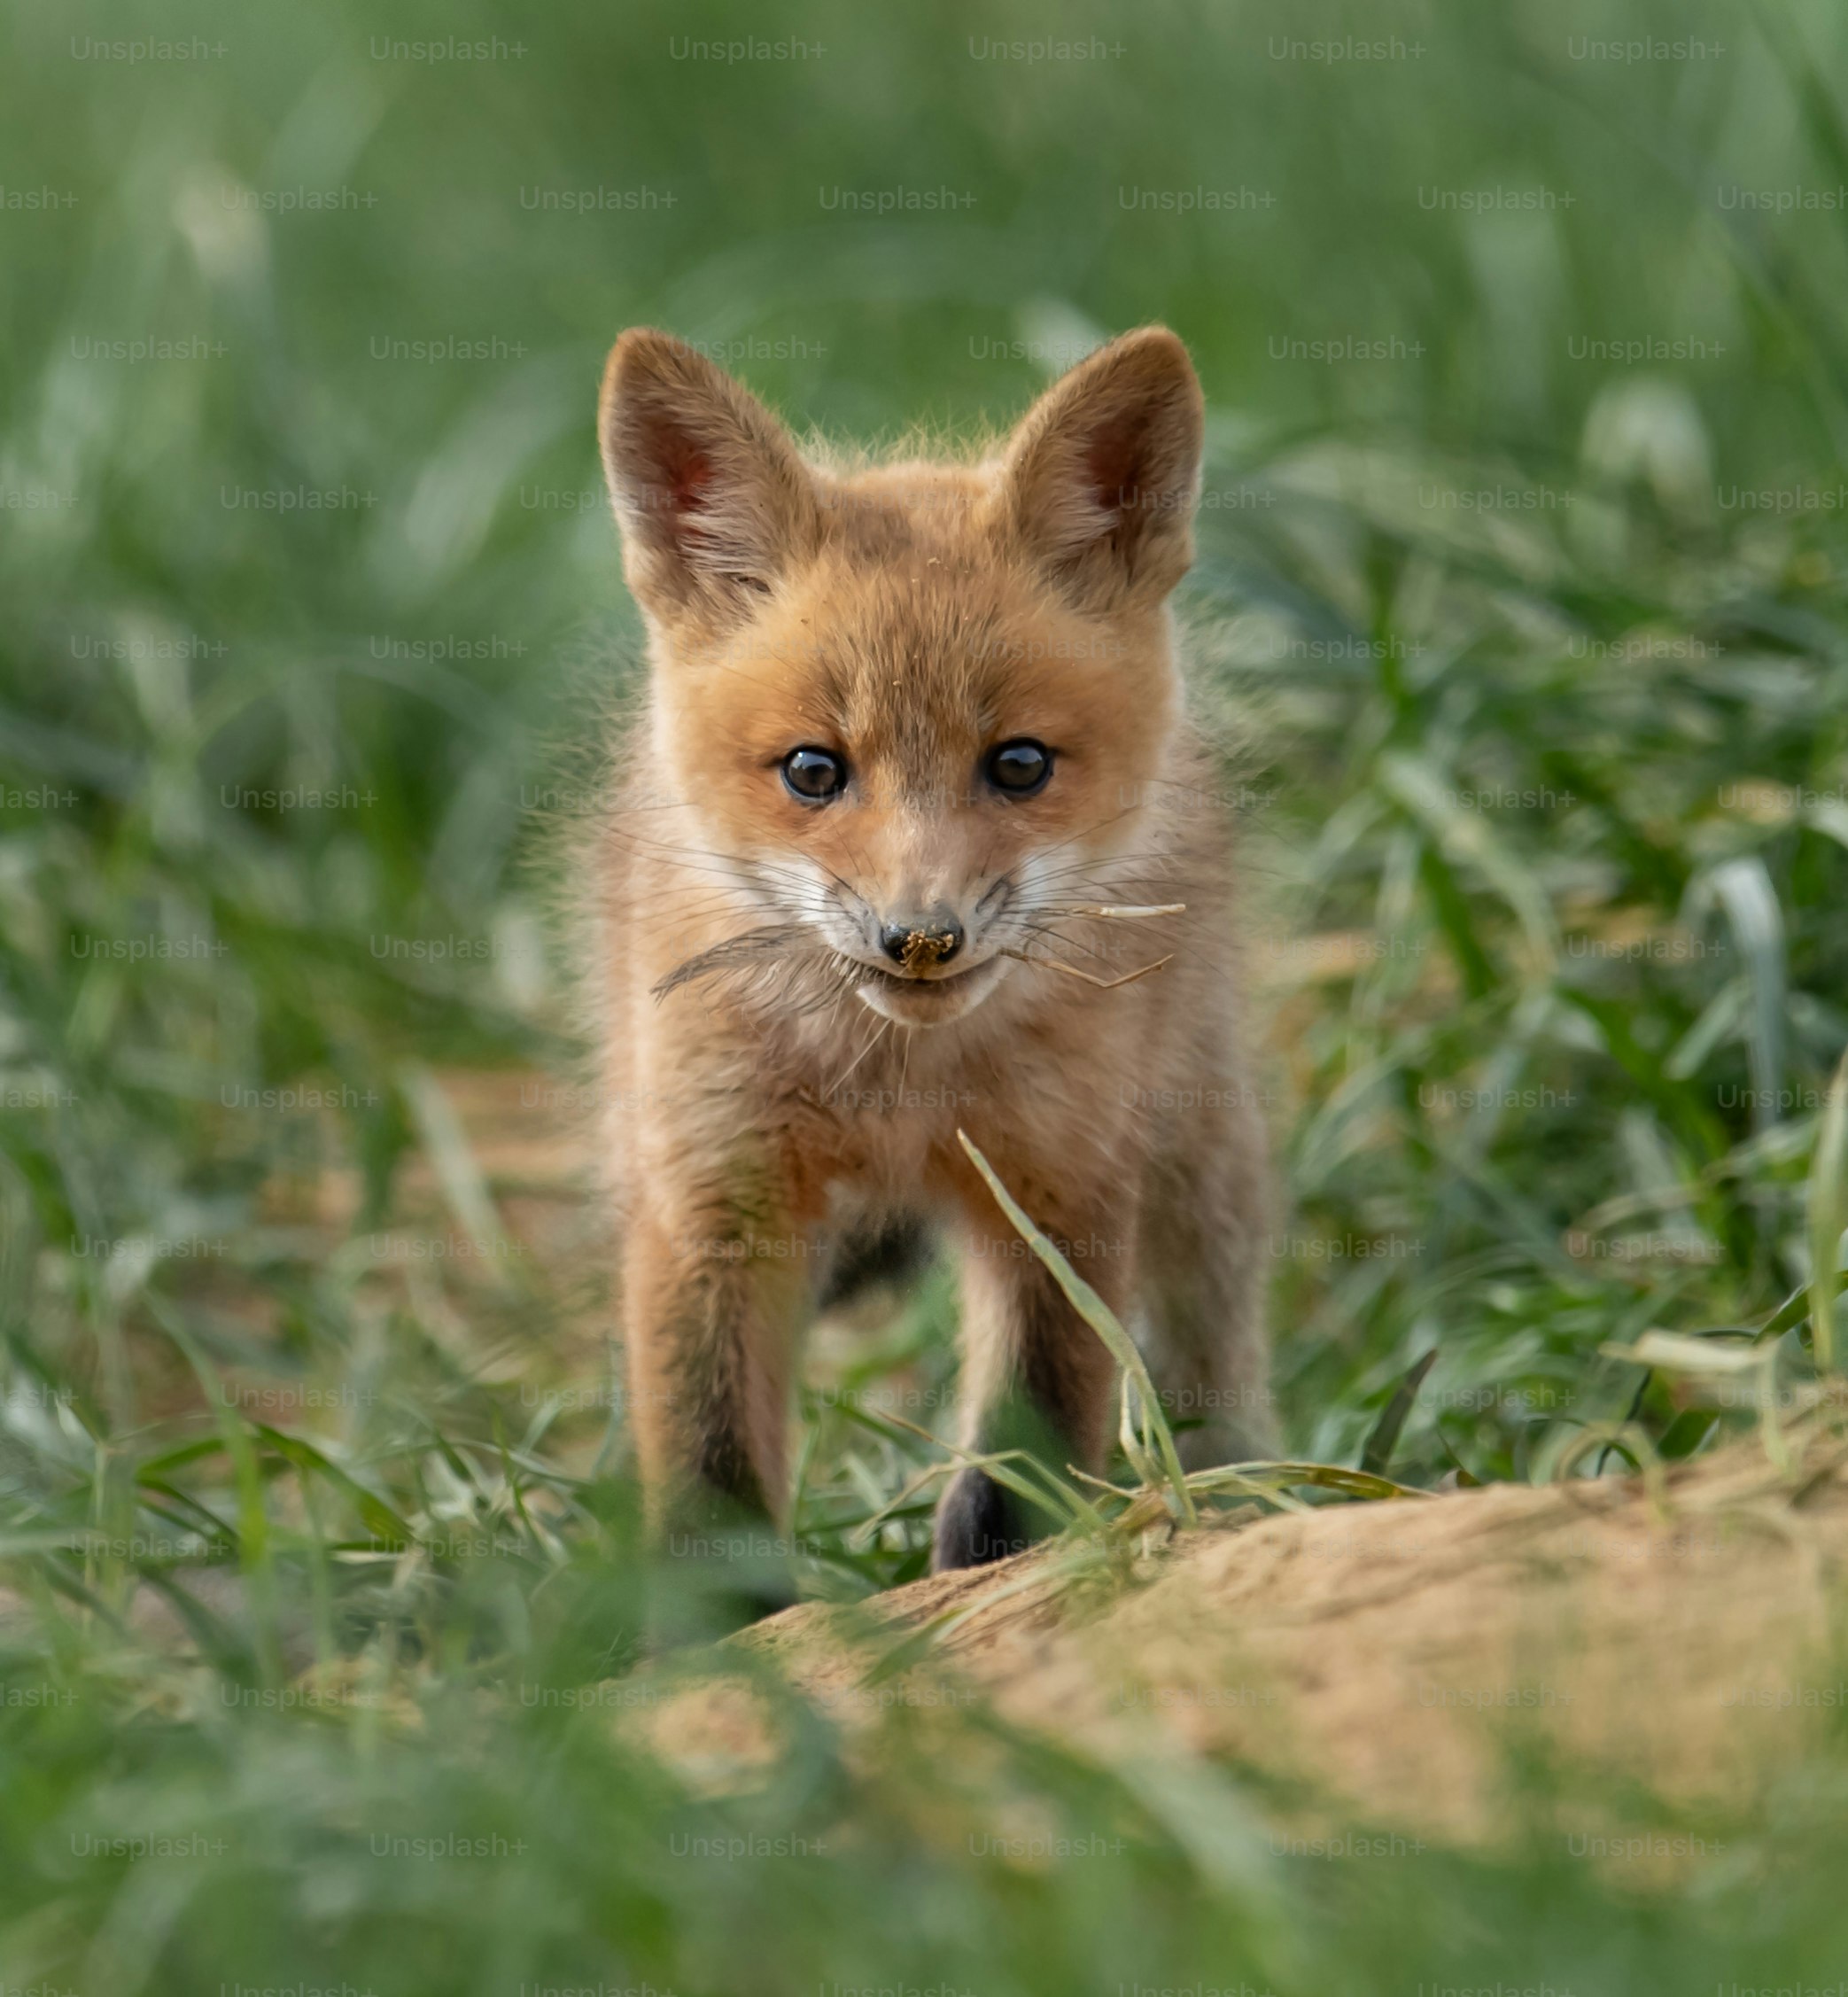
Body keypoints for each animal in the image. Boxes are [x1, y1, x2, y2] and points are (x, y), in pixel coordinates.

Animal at [588, 324, 1274, 1579]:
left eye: (1019, 764)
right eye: (814, 770)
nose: (918, 938)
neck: (894, 1090)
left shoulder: (1057, 1181)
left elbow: (1026, 1446)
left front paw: (997, 1579)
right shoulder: (710, 1195)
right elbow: (711, 1463)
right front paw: (726, 1618)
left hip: (1198, 1161)